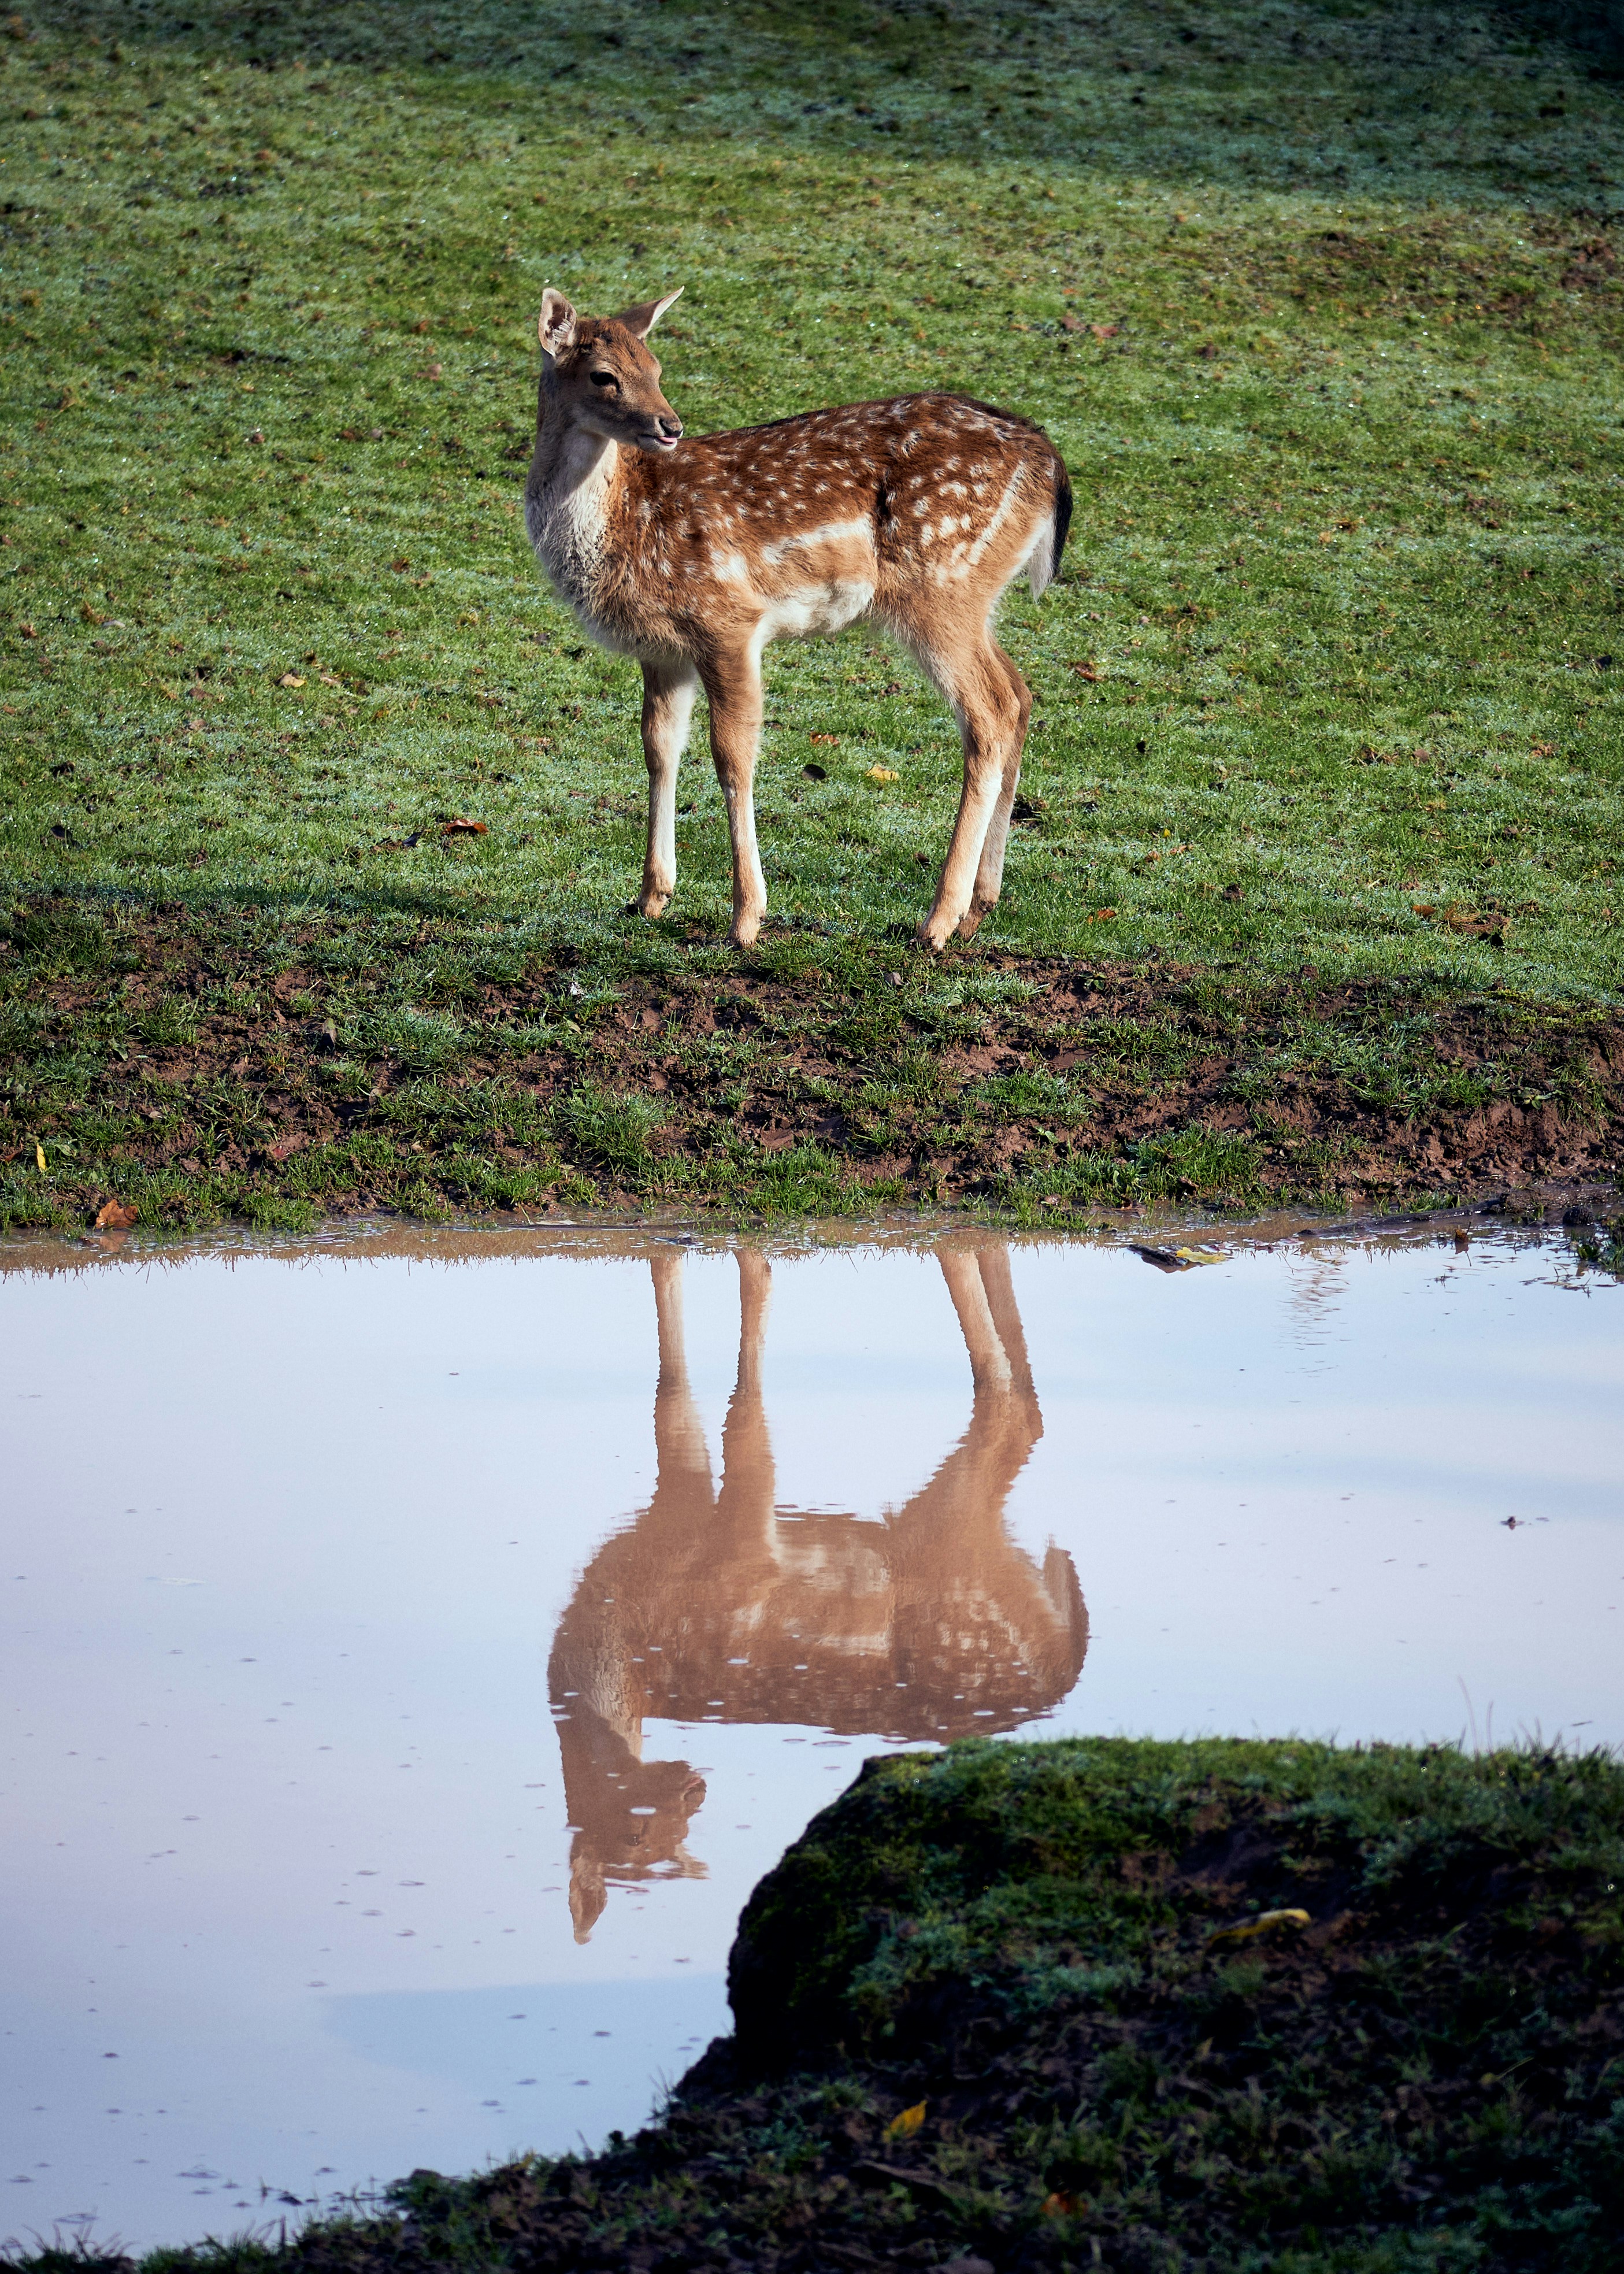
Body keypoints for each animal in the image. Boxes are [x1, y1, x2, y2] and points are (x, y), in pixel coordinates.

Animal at [524, 287, 1072, 952]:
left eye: (655, 369)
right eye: (604, 375)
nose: (669, 426)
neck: (624, 526)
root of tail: (1049, 464)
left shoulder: (728, 619)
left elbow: (733, 757)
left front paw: (746, 918)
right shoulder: (662, 649)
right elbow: (658, 748)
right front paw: (651, 896)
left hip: (941, 587)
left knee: (989, 712)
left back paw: (937, 920)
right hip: (974, 597)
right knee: (1018, 695)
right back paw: (979, 906)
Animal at [547, 1241, 1087, 1942]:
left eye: (675, 1837)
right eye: (637, 1837)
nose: (694, 1788)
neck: (622, 1629)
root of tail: (1064, 1660)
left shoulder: (742, 1562)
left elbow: (744, 1418)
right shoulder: (677, 1504)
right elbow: (672, 1381)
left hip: (948, 1561)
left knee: (1006, 1401)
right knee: (1022, 1396)